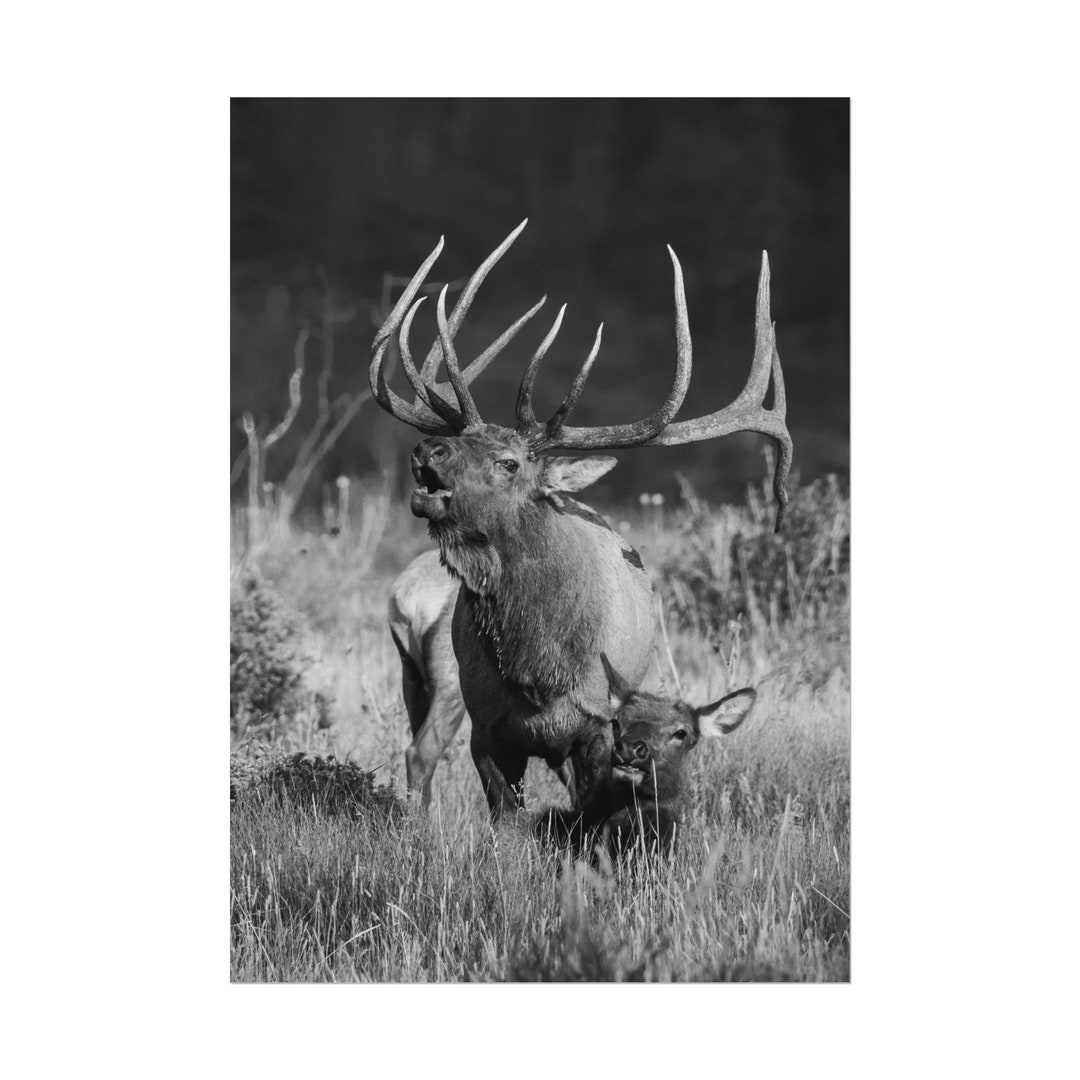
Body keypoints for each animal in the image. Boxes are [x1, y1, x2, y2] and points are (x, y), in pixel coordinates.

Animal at [371, 219, 791, 821]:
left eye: (510, 462)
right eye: (461, 438)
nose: (429, 450)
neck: (540, 670)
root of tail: (408, 596)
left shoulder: (594, 728)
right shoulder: (489, 728)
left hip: (418, 680)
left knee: (417, 748)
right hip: (440, 683)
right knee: (419, 751)